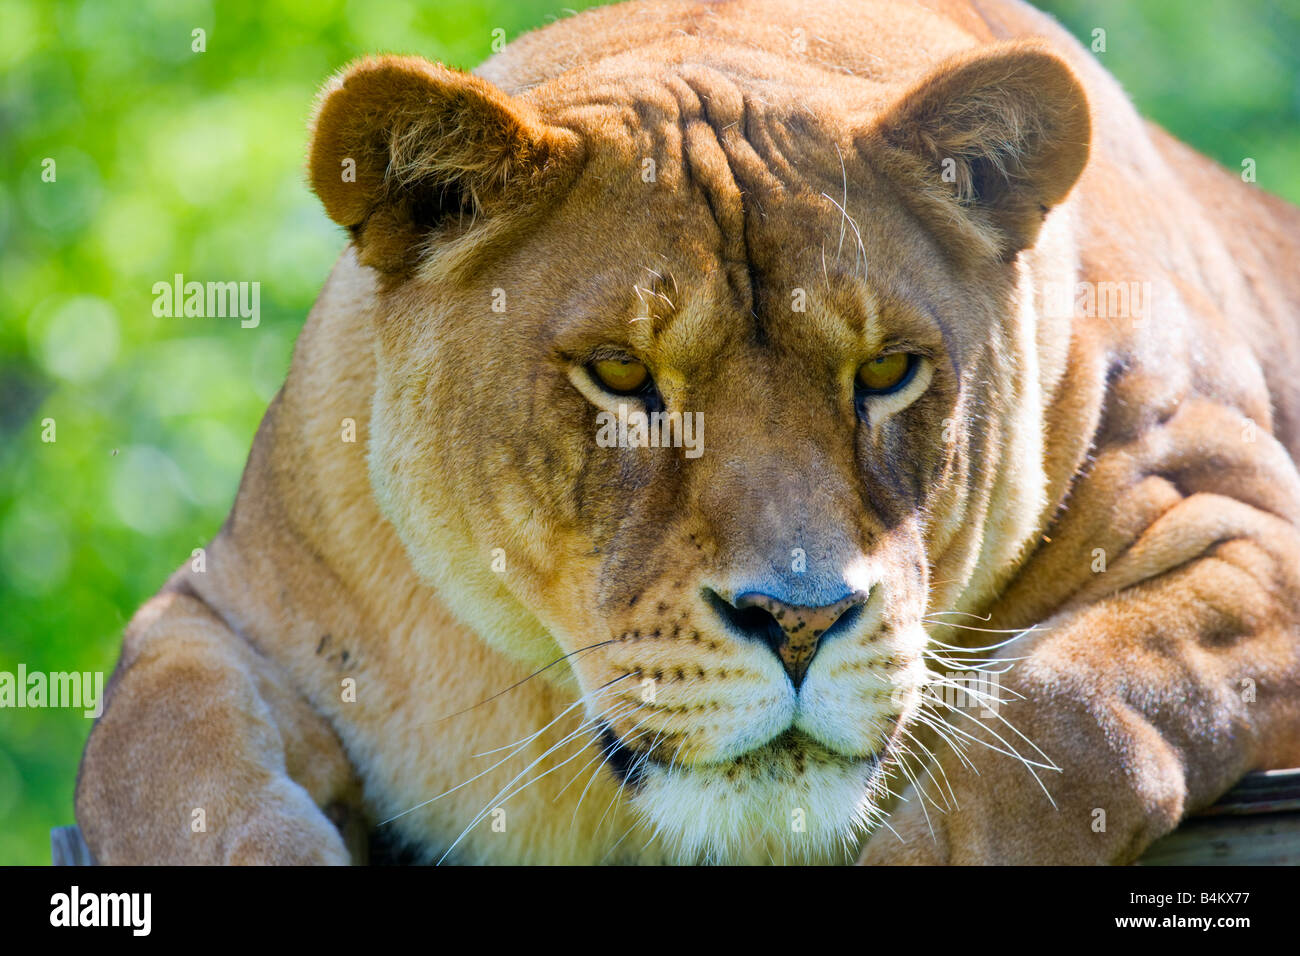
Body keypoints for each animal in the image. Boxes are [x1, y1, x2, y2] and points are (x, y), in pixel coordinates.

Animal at [75, 0, 1300, 865]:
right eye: (622, 373)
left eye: (887, 371)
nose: (798, 621)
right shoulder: (222, 605)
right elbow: (168, 765)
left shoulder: (1250, 534)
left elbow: (1069, 716)